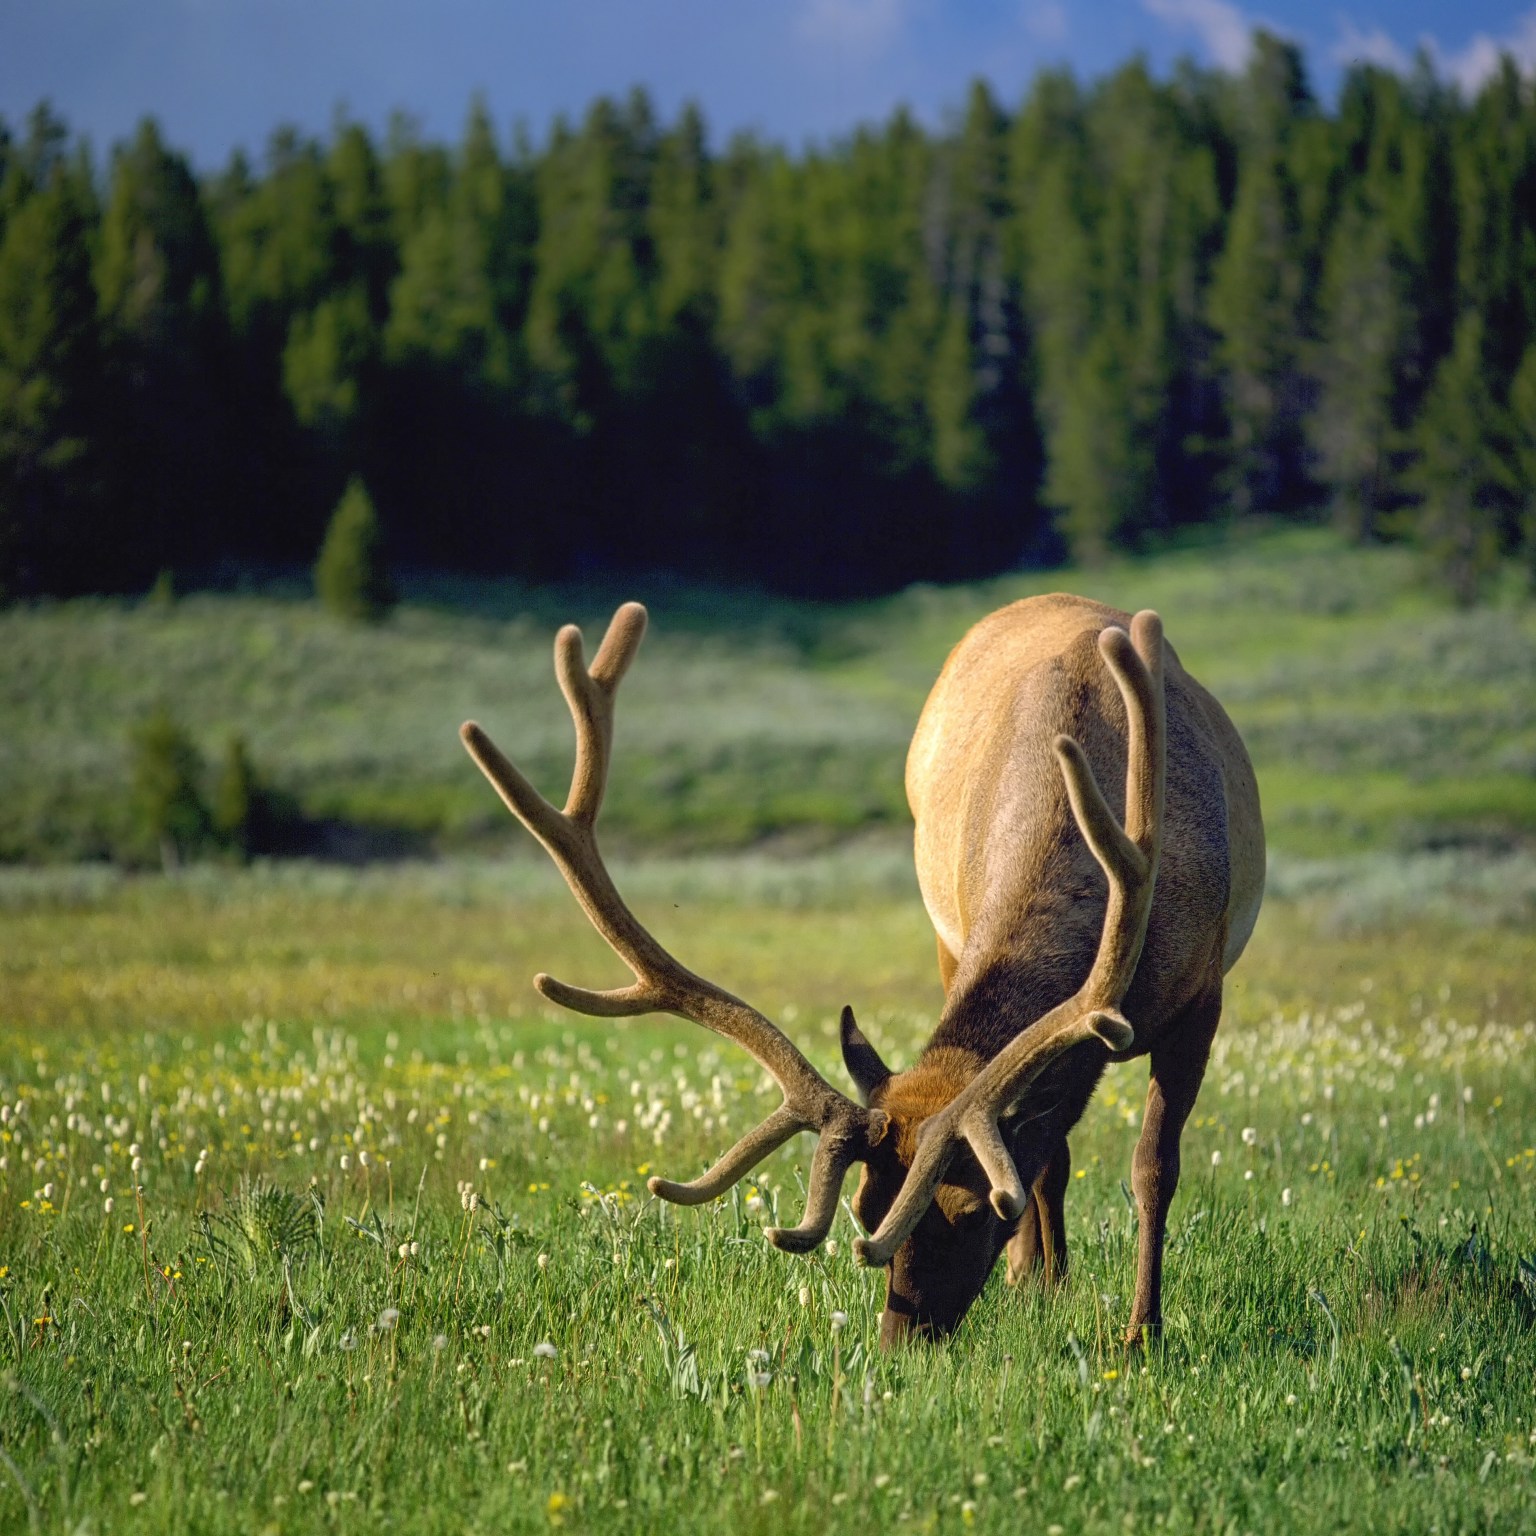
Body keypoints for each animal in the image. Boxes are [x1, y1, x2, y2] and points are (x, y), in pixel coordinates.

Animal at [460, 593, 1264, 1347]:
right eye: (864, 1207)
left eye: (976, 1208)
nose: (900, 1340)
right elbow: (1049, 1156)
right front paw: (1043, 1284)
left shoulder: (1203, 993)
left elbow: (1153, 1168)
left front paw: (1142, 1331)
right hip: (944, 937)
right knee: (1053, 1150)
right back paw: (1036, 1278)